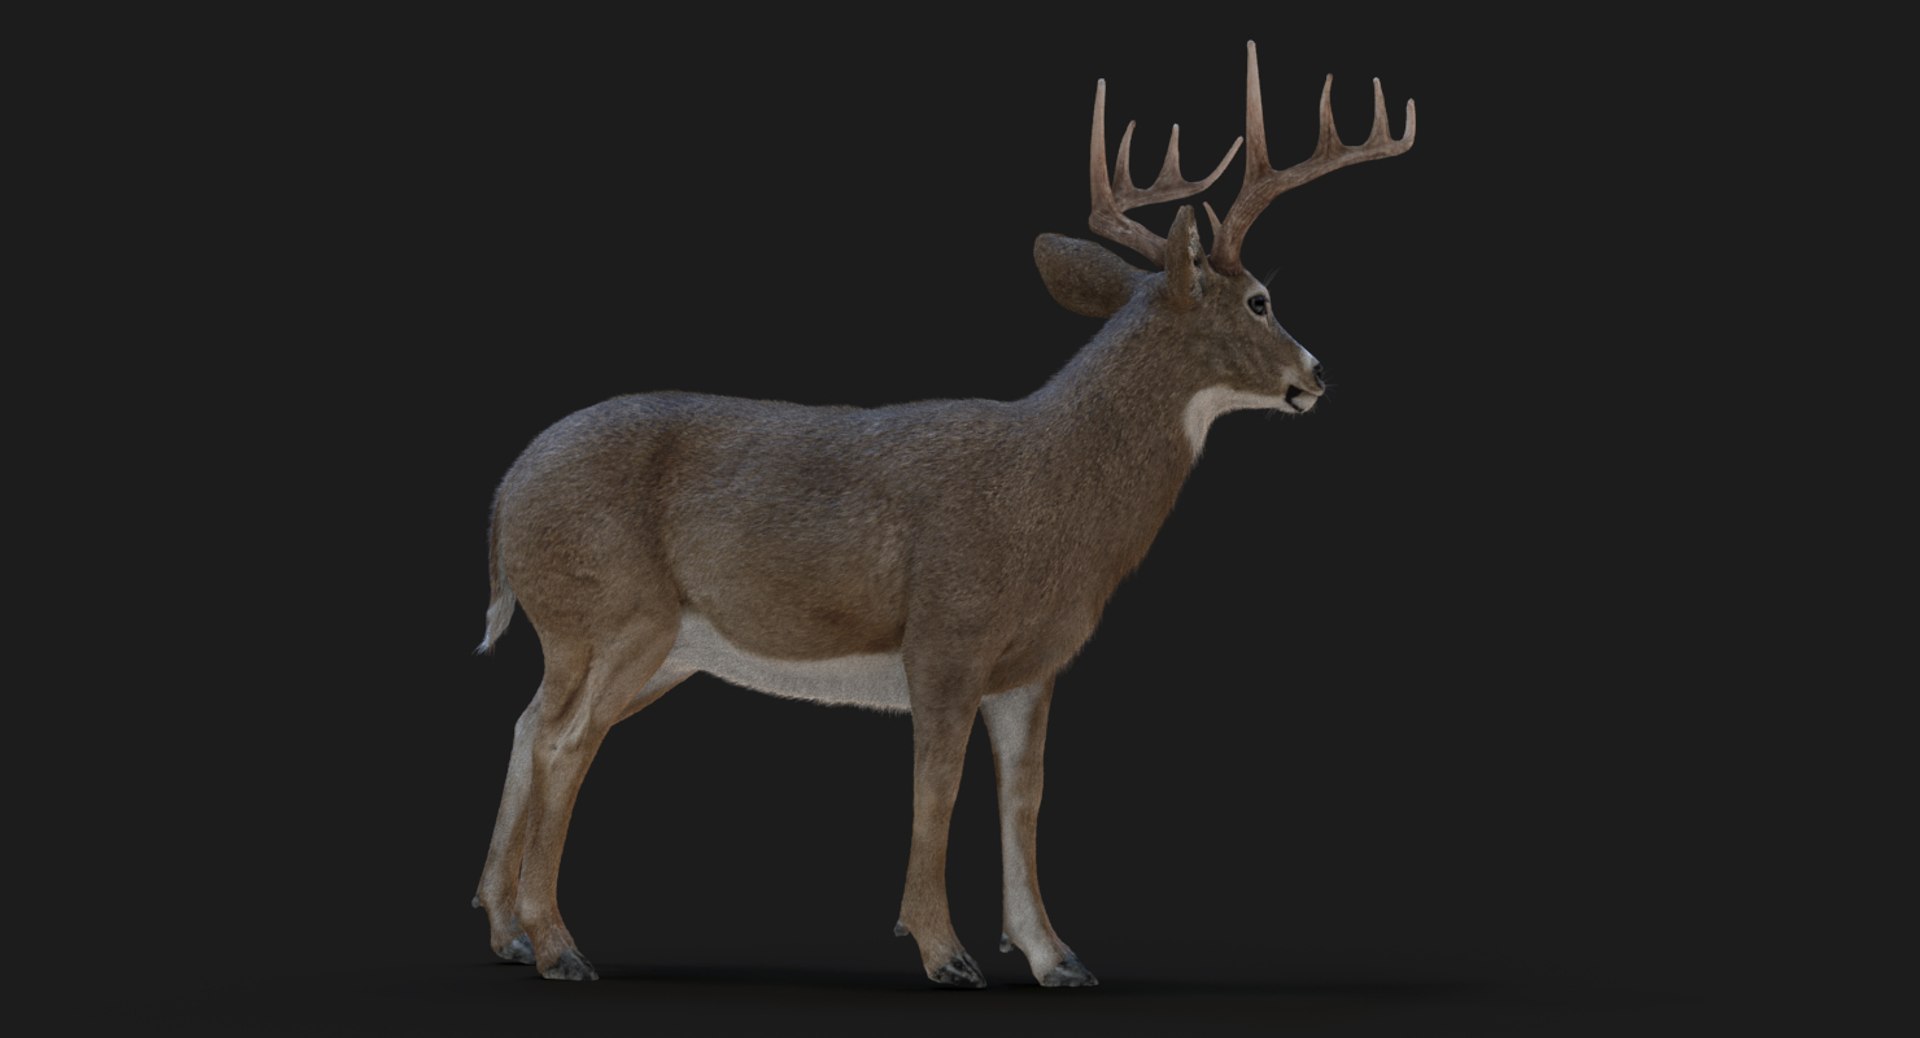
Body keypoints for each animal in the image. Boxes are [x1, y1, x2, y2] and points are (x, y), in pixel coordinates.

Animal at [469, 41, 1414, 989]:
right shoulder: (946, 637)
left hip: (630, 643)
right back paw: (557, 945)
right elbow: (939, 786)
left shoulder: (1032, 666)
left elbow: (1025, 796)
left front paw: (1053, 955)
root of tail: (503, 498)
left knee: (526, 722)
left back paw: (506, 931)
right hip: (618, 613)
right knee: (564, 742)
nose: (1315, 375)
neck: (1051, 491)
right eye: (1260, 299)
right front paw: (943, 950)